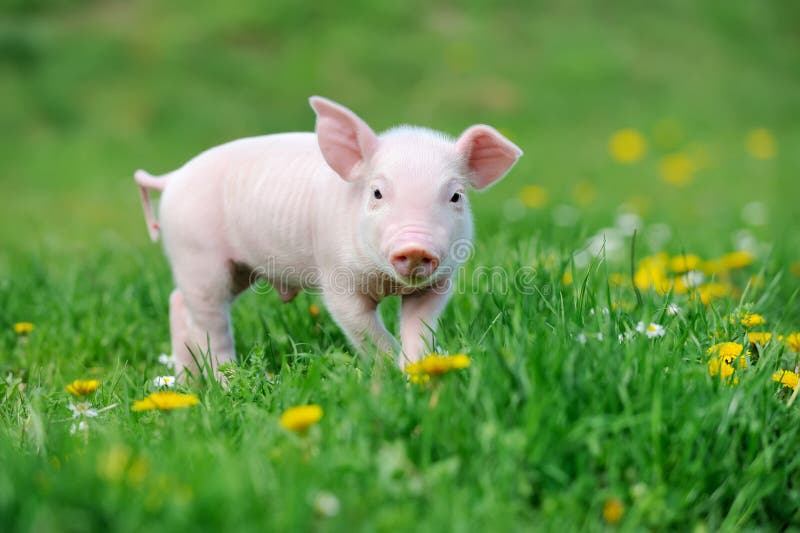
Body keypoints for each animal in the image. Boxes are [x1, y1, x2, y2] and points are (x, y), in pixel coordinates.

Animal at [134, 97, 522, 378]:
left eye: (456, 196)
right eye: (377, 193)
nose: (415, 246)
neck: (387, 282)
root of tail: (172, 178)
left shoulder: (438, 284)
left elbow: (419, 328)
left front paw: (417, 372)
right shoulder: (337, 281)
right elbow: (366, 331)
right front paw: (390, 376)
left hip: (234, 269)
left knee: (179, 305)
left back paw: (187, 386)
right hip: (197, 256)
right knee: (209, 324)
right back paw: (227, 382)